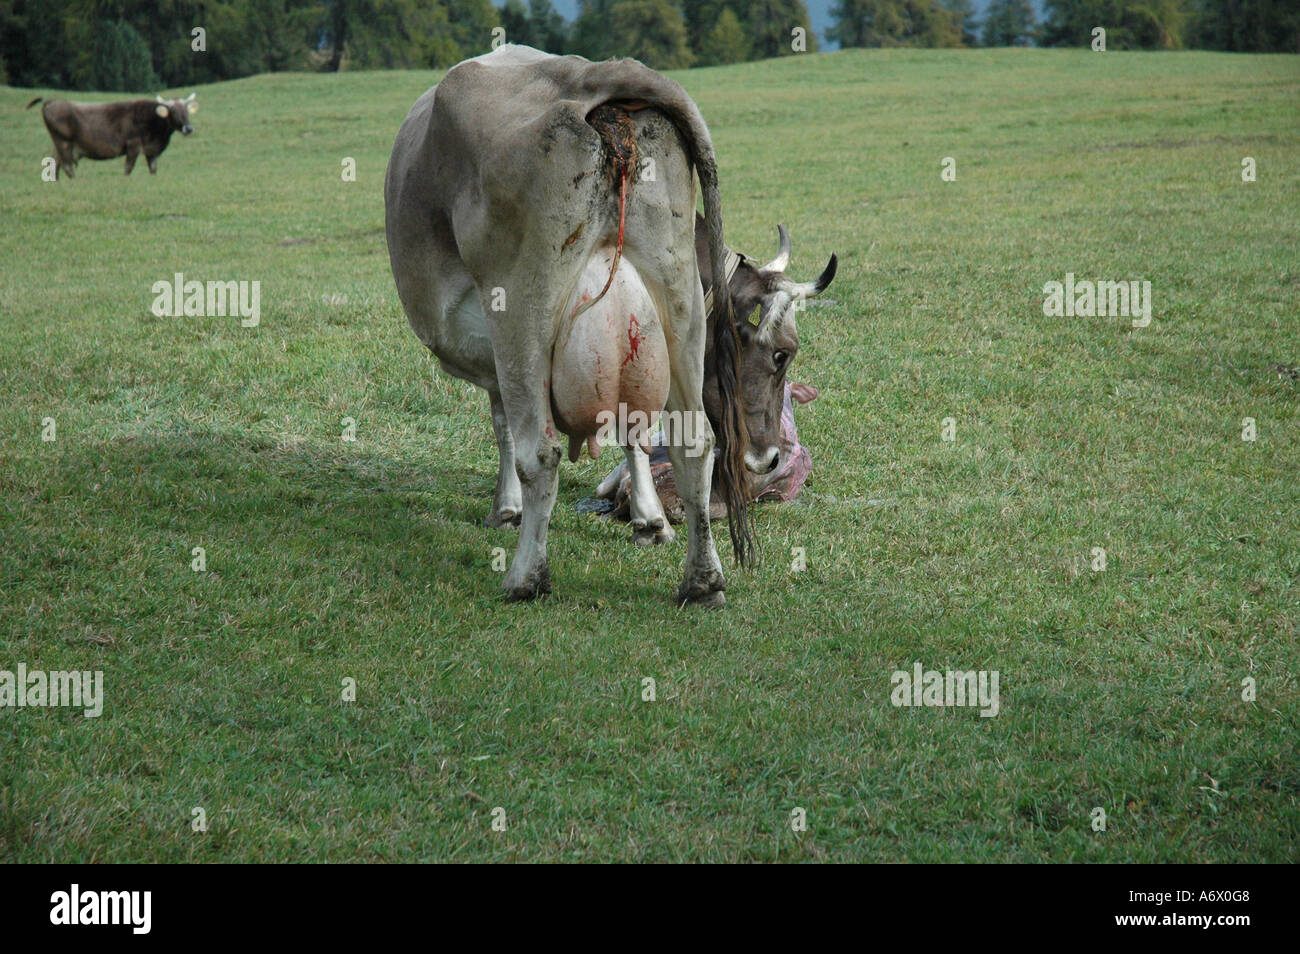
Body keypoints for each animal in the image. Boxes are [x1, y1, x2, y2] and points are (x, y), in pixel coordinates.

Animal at [26, 93, 198, 180]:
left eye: (187, 111)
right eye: (173, 111)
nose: (189, 128)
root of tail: (49, 101)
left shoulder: (151, 150)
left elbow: (153, 169)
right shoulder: (133, 143)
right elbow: (128, 167)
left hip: (58, 144)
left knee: (54, 164)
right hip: (64, 142)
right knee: (67, 166)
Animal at [386, 45, 757, 606]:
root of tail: (591, 76)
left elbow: (504, 427)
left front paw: (507, 510)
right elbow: (633, 431)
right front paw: (649, 519)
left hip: (522, 310)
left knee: (541, 452)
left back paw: (526, 577)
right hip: (681, 301)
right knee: (695, 442)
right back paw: (703, 581)